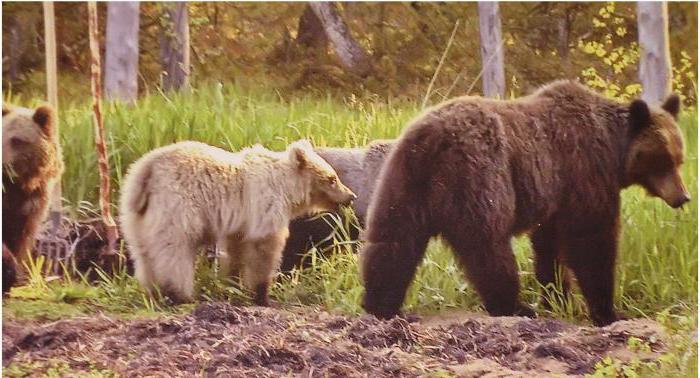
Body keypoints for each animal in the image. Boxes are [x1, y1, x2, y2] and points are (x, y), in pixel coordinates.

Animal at [360, 81, 688, 326]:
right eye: (663, 159)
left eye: (678, 157)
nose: (682, 196)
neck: (613, 151)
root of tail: (431, 139)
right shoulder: (583, 174)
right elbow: (592, 242)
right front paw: (608, 312)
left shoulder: (556, 197)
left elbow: (549, 248)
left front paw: (557, 297)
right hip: (481, 175)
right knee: (488, 246)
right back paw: (514, 306)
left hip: (403, 182)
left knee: (392, 241)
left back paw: (380, 305)